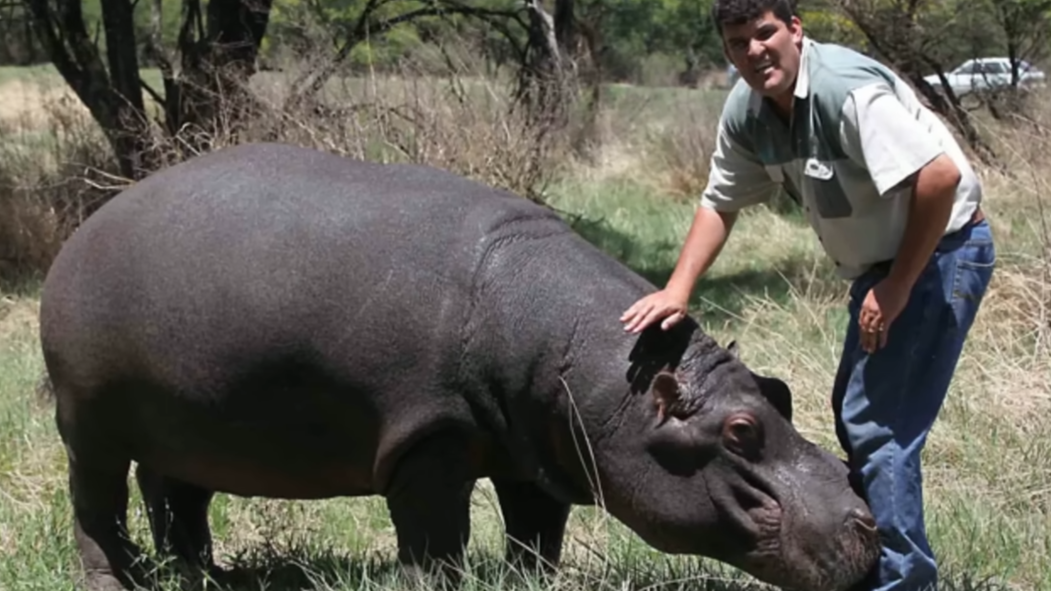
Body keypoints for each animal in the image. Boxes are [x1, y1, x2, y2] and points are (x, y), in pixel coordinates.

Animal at [38, 142, 879, 591]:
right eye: (738, 430)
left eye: (780, 392)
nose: (867, 522)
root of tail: (86, 227)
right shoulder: (428, 438)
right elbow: (437, 534)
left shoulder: (534, 448)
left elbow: (536, 532)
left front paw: (531, 581)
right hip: (89, 425)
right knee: (97, 505)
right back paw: (113, 580)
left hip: (184, 423)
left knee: (178, 496)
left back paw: (201, 577)